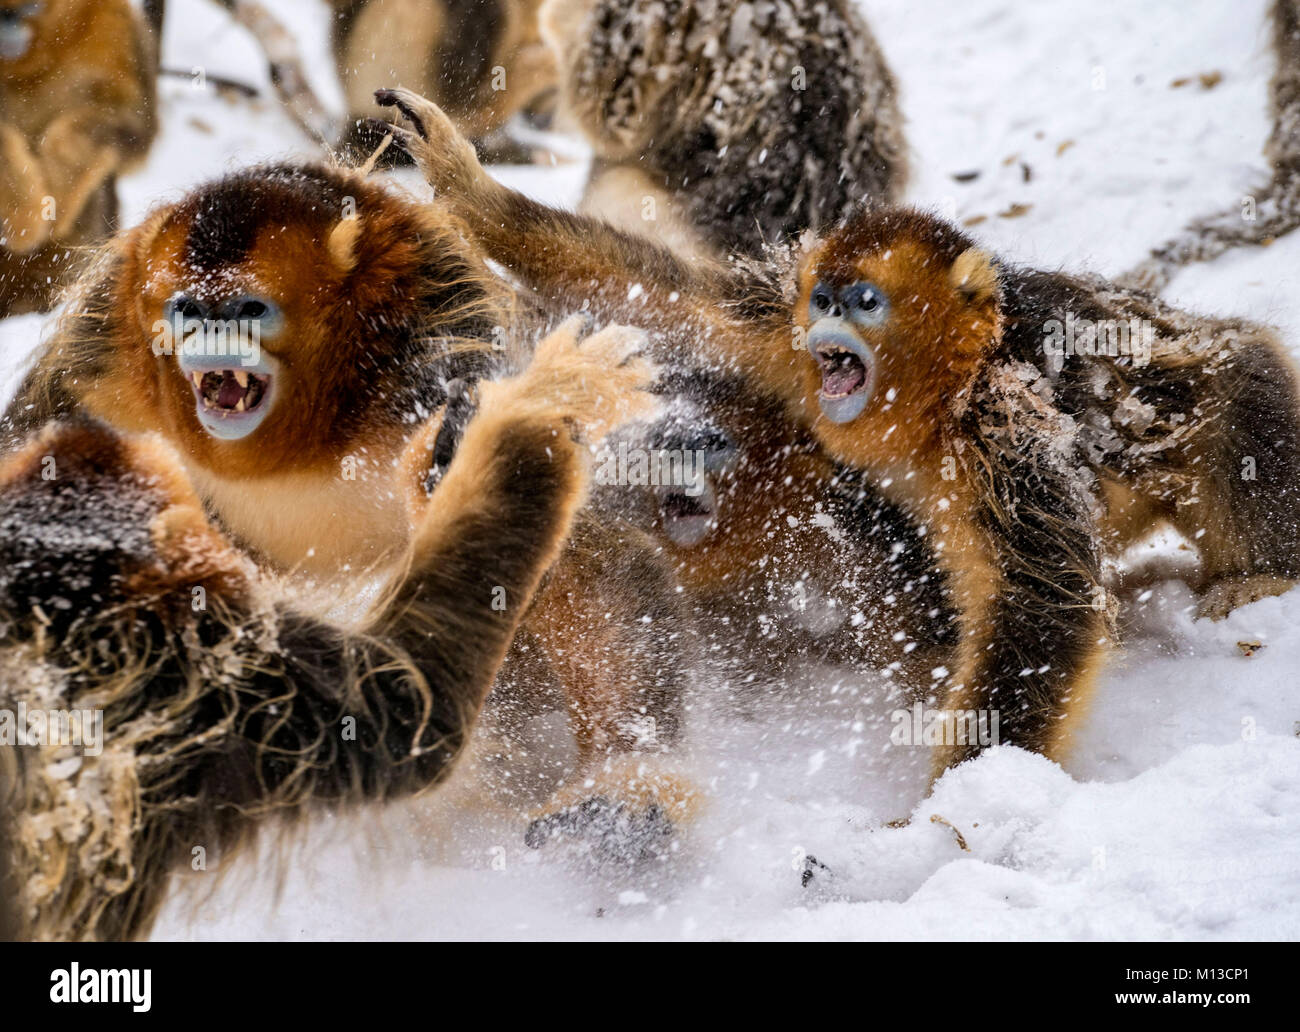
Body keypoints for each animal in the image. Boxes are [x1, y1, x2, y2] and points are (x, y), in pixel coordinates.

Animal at [0, 0, 157, 316]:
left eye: (30, 8)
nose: (7, 24)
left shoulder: (114, 28)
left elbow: (133, 122)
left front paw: (55, 199)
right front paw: (23, 213)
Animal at [1, 159, 698, 862]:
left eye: (248, 310)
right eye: (190, 310)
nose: (210, 342)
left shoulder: (437, 320)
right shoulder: (98, 368)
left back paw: (624, 787)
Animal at [378, 87, 1300, 778]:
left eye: (865, 302)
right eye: (823, 298)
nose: (827, 324)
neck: (938, 402)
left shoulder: (1007, 424)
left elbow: (1042, 601)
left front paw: (951, 816)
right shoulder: (778, 337)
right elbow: (677, 298)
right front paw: (470, 187)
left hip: (1204, 381)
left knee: (1235, 380)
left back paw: (1257, 579)